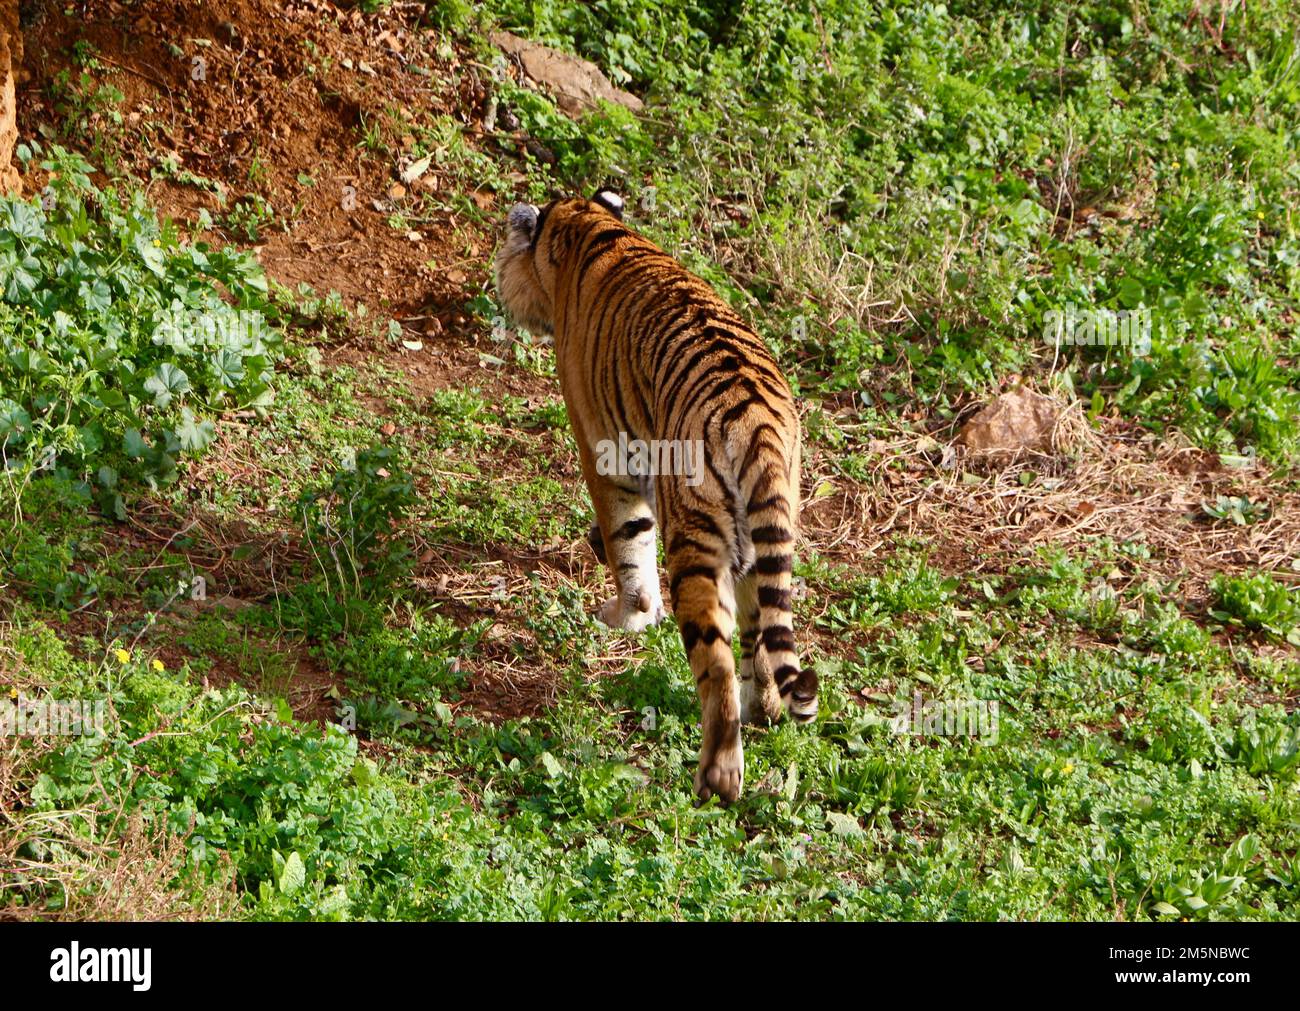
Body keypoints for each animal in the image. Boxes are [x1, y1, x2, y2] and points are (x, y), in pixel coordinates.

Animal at [494, 190, 817, 803]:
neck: (588, 227)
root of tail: (760, 429)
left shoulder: (601, 446)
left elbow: (628, 542)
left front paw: (628, 614)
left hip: (696, 541)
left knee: (715, 664)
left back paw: (717, 777)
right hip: (767, 537)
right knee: (761, 636)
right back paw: (762, 711)